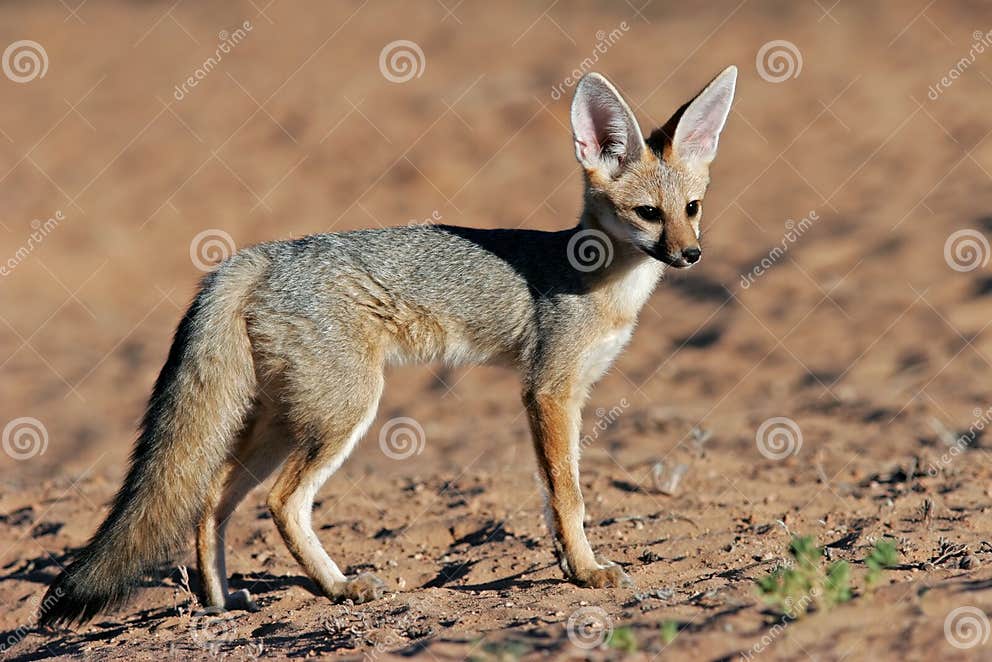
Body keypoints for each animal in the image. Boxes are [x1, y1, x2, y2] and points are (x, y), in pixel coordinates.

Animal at [39, 66, 737, 626]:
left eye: (693, 208)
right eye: (648, 213)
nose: (691, 255)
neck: (605, 284)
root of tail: (254, 256)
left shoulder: (569, 394)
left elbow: (553, 498)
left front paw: (569, 566)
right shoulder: (548, 391)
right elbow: (569, 496)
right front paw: (588, 573)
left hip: (281, 422)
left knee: (210, 500)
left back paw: (221, 602)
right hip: (343, 413)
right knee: (280, 501)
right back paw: (339, 588)